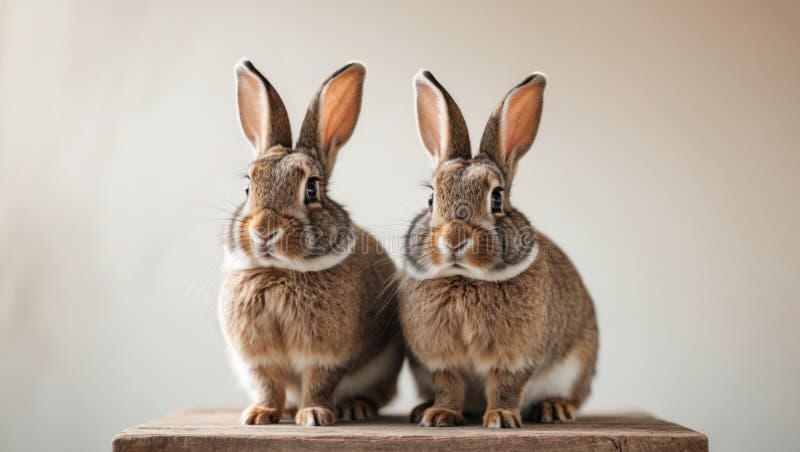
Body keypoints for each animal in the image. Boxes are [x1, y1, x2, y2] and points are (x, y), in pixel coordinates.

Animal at [219, 60, 403, 427]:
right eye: (248, 188)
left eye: (312, 189)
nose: (265, 230)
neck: (279, 272)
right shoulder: (258, 359)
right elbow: (267, 384)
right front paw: (260, 415)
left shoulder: (328, 357)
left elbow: (319, 382)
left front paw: (315, 415)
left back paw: (353, 408)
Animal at [399, 69, 599, 428]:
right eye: (431, 198)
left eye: (496, 198)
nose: (454, 240)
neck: (465, 279)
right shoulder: (438, 361)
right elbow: (448, 385)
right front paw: (439, 415)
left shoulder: (516, 359)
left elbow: (506, 385)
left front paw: (502, 418)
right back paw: (422, 409)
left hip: (577, 365)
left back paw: (555, 408)